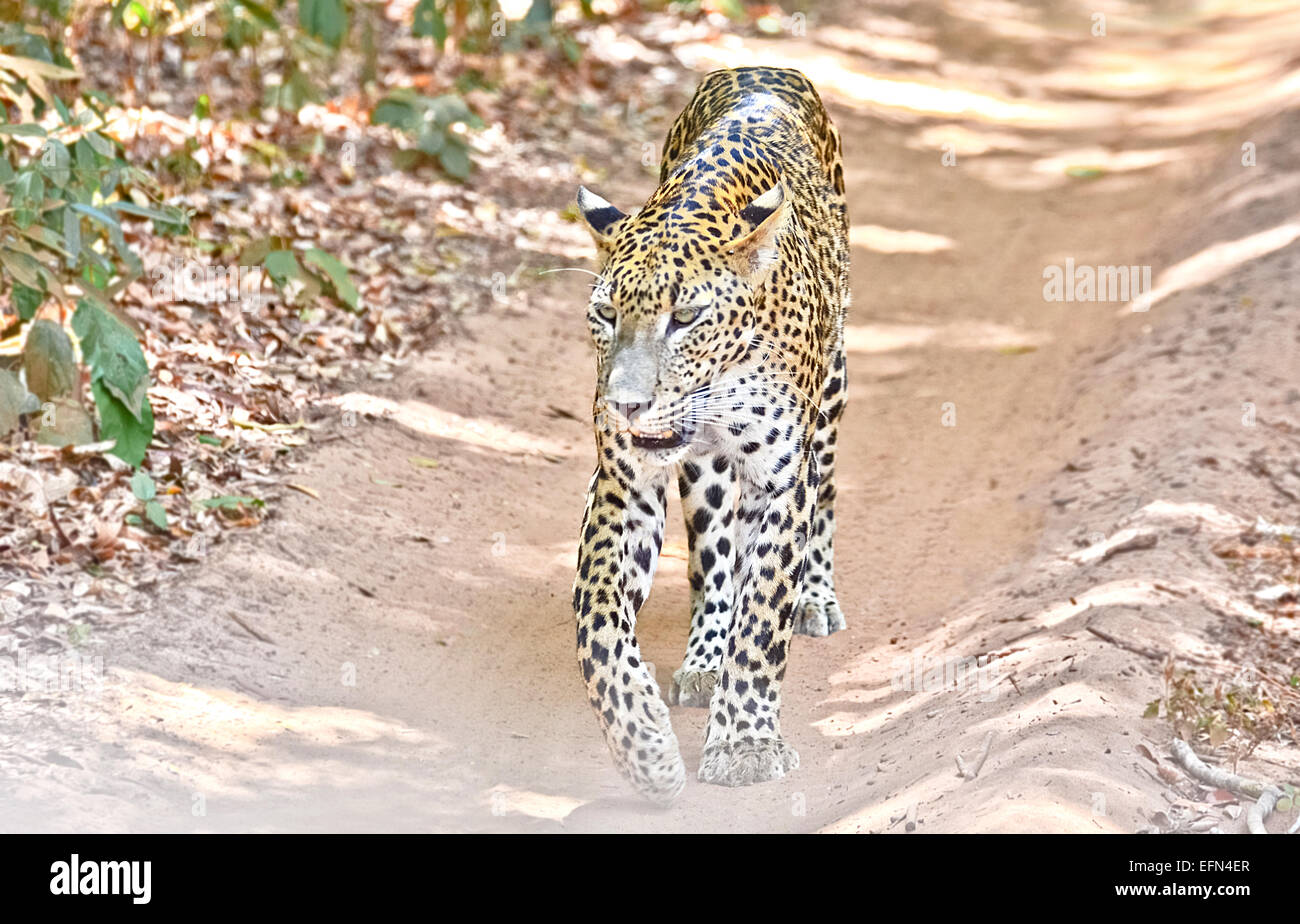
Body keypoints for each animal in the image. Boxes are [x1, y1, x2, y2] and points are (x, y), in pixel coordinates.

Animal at [572, 66, 850, 804]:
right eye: (605, 314)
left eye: (686, 316)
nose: (626, 404)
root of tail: (764, 68)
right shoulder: (623, 485)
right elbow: (598, 624)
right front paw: (643, 746)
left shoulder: (784, 480)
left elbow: (764, 617)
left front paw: (745, 741)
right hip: (707, 477)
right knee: (715, 562)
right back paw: (702, 659)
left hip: (833, 394)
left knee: (825, 502)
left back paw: (817, 597)